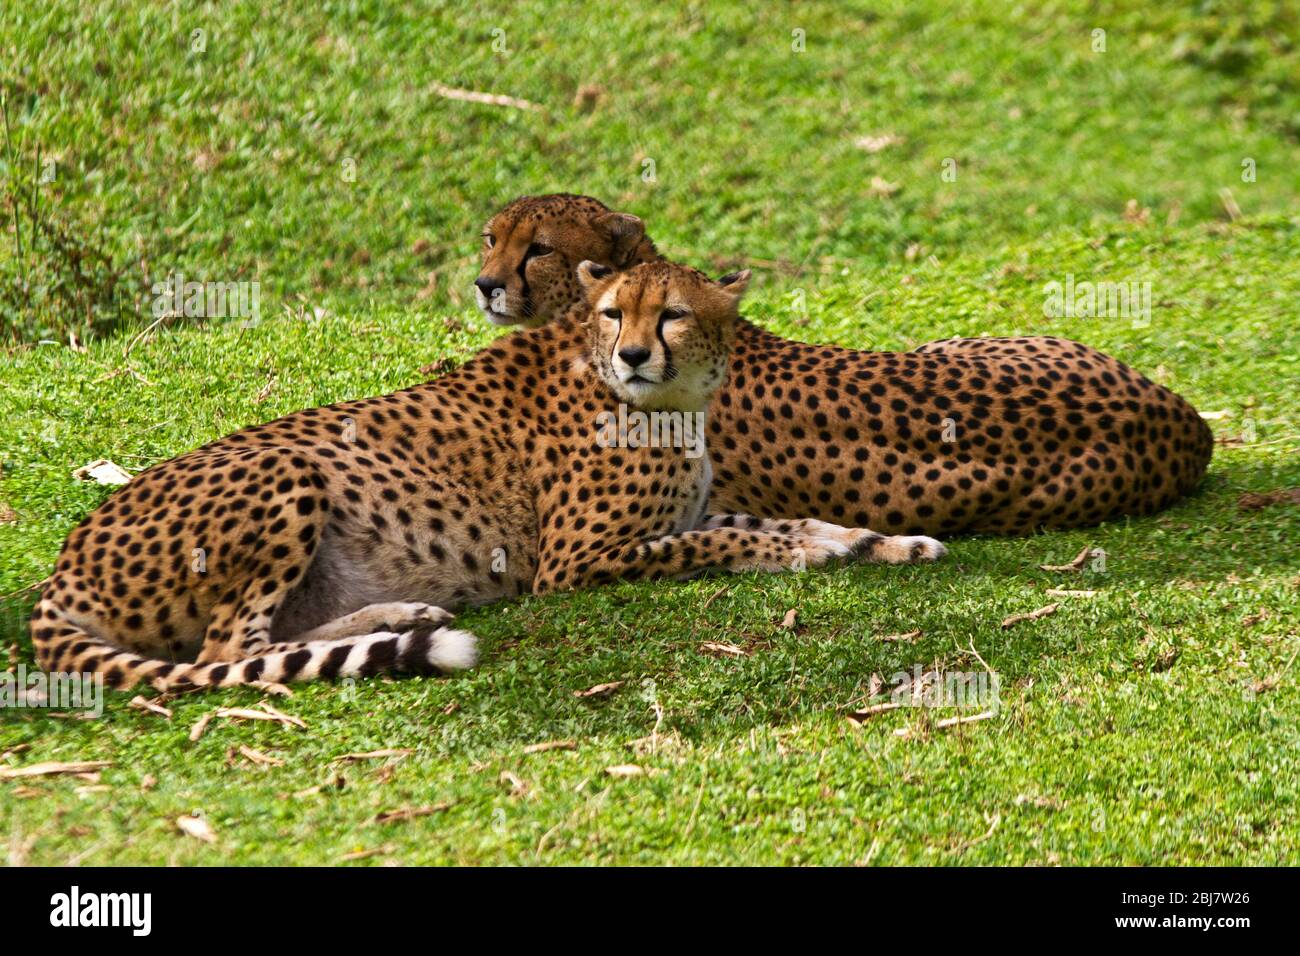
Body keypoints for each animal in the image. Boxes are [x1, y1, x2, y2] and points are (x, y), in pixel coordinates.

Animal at [30, 259, 944, 692]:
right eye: (614, 313)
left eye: (674, 314)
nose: (633, 355)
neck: (670, 400)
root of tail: (64, 562)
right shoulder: (574, 563)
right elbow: (721, 546)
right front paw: (817, 549)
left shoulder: (685, 513)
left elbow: (764, 524)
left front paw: (870, 542)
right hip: (286, 462)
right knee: (226, 647)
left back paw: (400, 614)